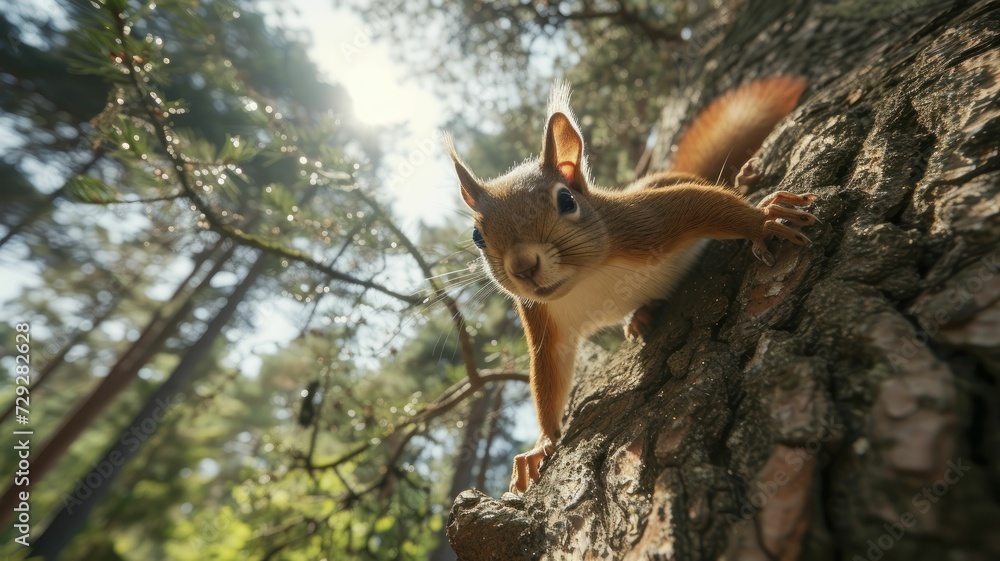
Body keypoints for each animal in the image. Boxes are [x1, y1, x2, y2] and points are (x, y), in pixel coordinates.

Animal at [446, 76, 815, 493]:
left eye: (566, 201)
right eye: (477, 236)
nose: (523, 266)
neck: (587, 279)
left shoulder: (645, 224)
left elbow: (699, 203)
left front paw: (763, 222)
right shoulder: (543, 318)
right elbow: (549, 372)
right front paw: (540, 445)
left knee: (707, 185)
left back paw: (741, 179)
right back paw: (641, 316)